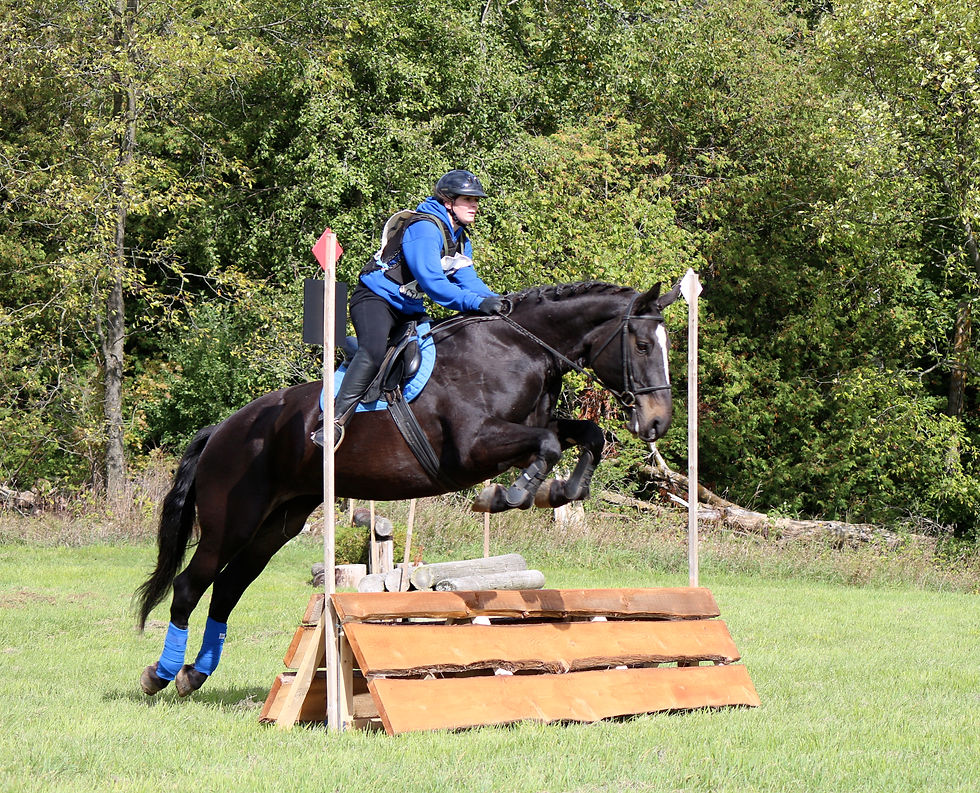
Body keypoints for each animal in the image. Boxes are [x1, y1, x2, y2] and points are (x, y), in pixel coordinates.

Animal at [135, 279, 681, 697]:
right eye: (643, 346)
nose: (657, 423)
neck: (520, 350)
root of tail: (221, 430)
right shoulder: (474, 446)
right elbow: (547, 445)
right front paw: (508, 495)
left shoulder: (531, 428)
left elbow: (588, 434)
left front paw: (559, 493)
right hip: (233, 521)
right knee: (189, 586)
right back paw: (160, 675)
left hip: (278, 523)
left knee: (228, 587)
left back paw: (193, 675)